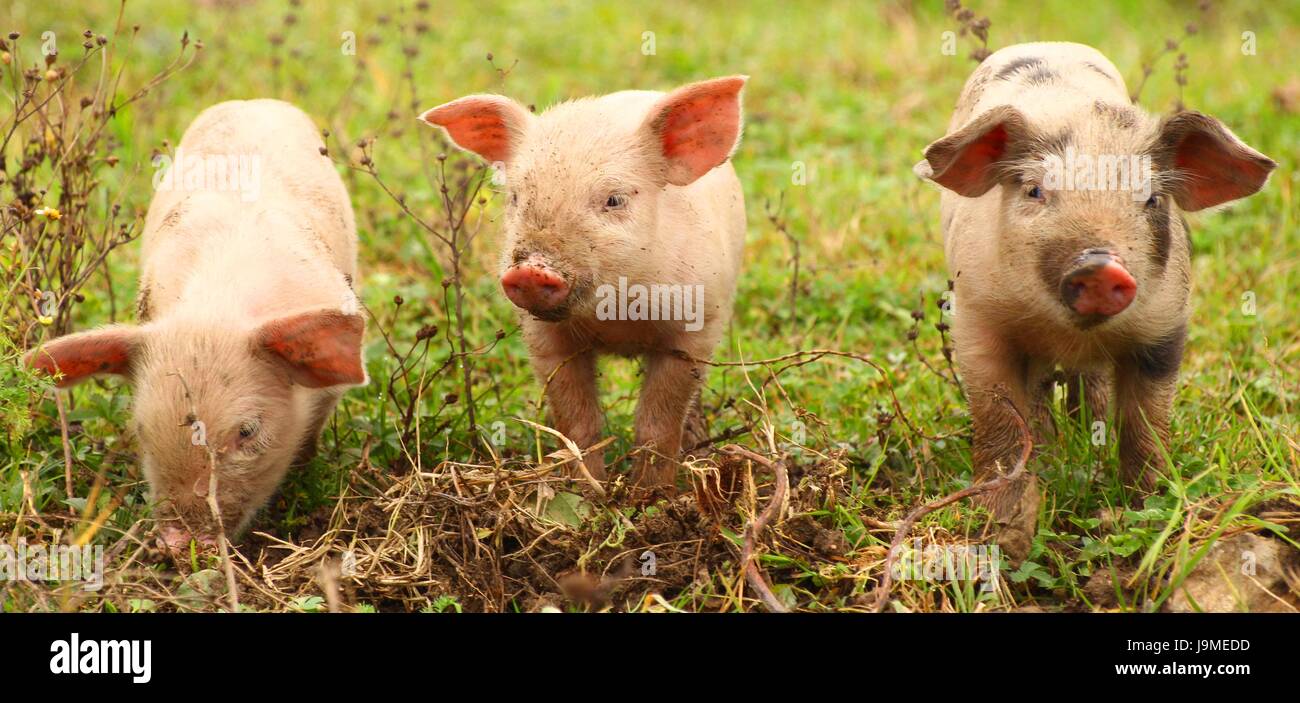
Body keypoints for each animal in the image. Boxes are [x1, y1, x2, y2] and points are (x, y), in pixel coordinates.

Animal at [419, 76, 748, 487]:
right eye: (516, 197)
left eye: (614, 199)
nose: (532, 270)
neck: (618, 321)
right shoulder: (546, 340)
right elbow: (577, 424)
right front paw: (588, 492)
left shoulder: (695, 327)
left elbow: (658, 423)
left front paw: (652, 494)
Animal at [914, 43, 1275, 559]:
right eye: (1035, 190)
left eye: (1151, 199)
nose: (1100, 265)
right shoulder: (978, 317)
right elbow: (998, 416)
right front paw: (1000, 522)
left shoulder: (1166, 325)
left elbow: (1147, 423)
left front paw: (1145, 504)